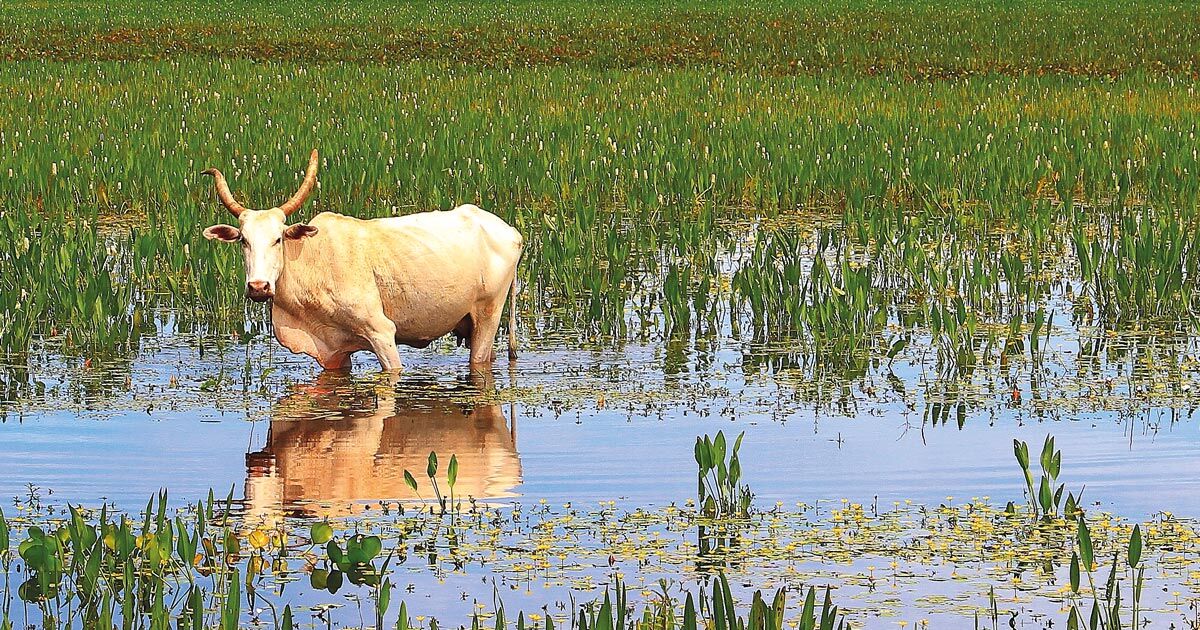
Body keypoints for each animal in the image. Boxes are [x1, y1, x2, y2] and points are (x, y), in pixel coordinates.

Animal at [201, 149, 523, 371]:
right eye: (243, 241)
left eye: (278, 239)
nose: (258, 287)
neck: (312, 263)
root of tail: (511, 232)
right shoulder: (333, 352)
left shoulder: (381, 332)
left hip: (488, 316)